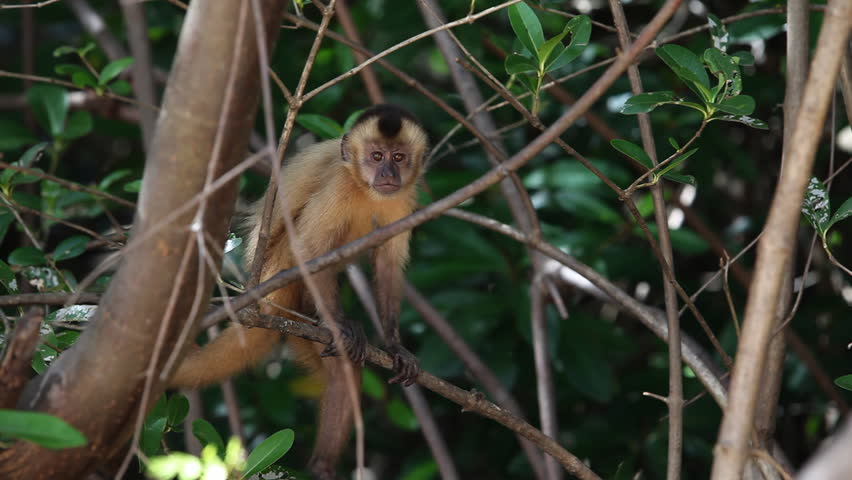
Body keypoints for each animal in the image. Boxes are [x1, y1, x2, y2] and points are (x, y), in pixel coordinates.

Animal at [168, 104, 427, 480]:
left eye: (399, 157)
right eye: (376, 156)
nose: (388, 172)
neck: (365, 189)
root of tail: (260, 306)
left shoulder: (404, 198)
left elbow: (388, 266)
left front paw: (394, 344)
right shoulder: (339, 186)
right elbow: (310, 248)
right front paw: (340, 323)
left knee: (343, 370)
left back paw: (322, 467)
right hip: (278, 277)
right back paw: (334, 322)